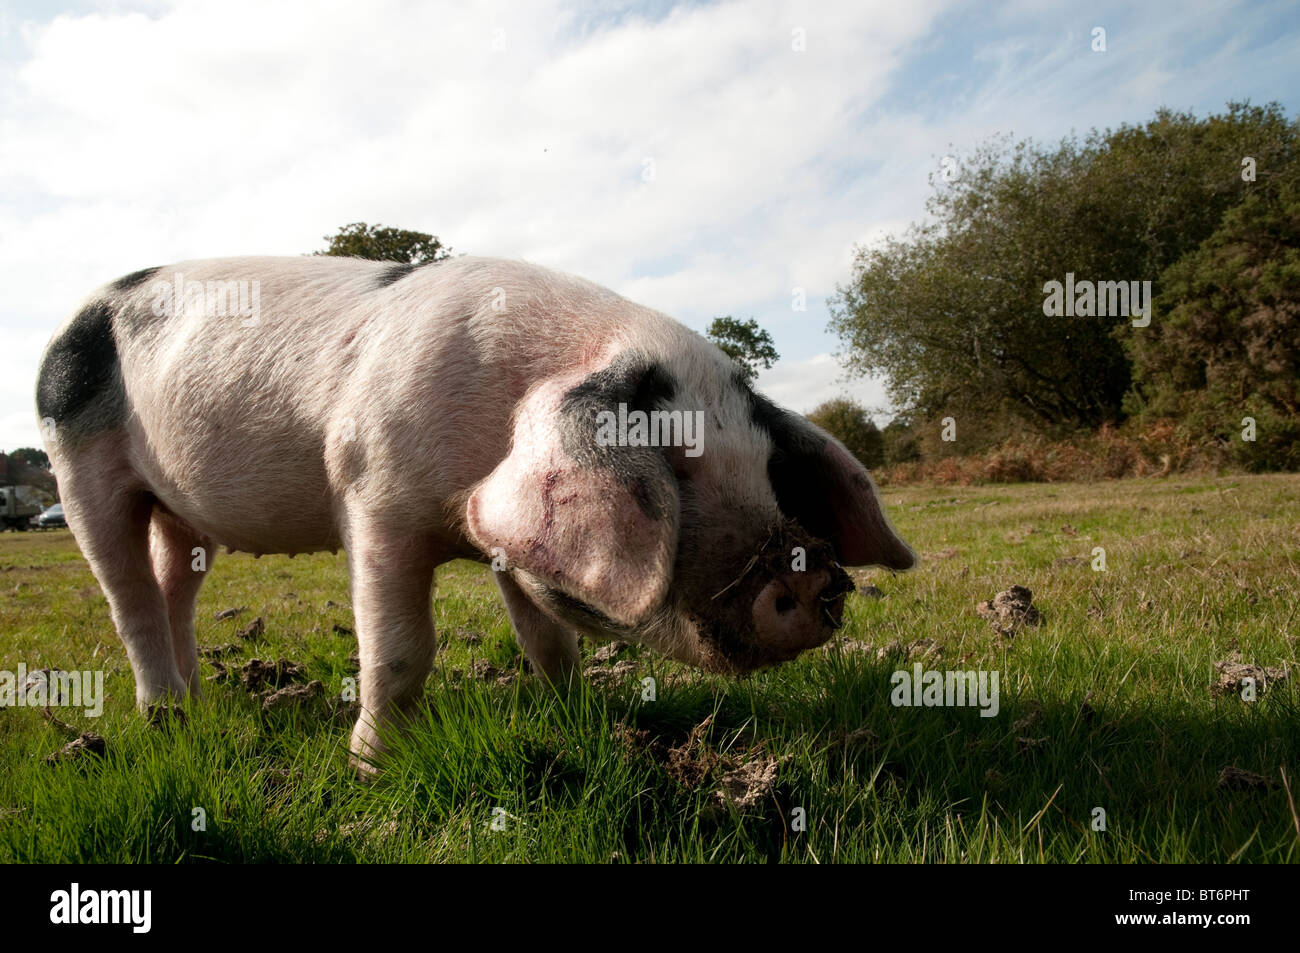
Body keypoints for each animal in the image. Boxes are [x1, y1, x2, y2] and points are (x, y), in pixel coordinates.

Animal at [36, 256, 914, 770]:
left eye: (766, 466)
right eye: (675, 464)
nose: (807, 567)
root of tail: (71, 319)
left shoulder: (514, 540)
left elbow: (548, 638)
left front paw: (581, 719)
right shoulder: (372, 499)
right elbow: (399, 652)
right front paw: (372, 767)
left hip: (181, 510)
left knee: (174, 590)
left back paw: (195, 701)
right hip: (78, 465)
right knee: (130, 600)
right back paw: (164, 719)